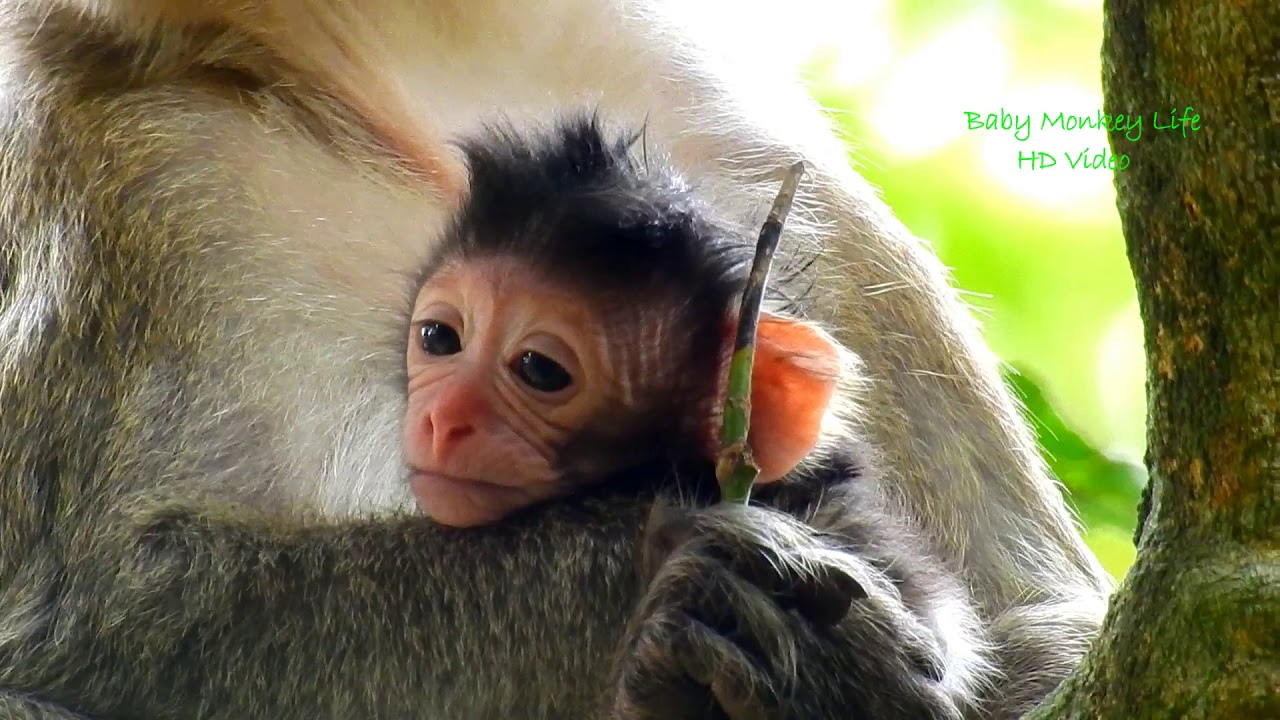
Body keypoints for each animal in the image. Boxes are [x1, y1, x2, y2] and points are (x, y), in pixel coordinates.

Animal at [0, 1, 1113, 719]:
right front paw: (701, 569)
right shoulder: (102, 168)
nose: (446, 418)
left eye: (540, 371)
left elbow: (1045, 622)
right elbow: (91, 615)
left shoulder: (736, 131)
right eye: (438, 340)